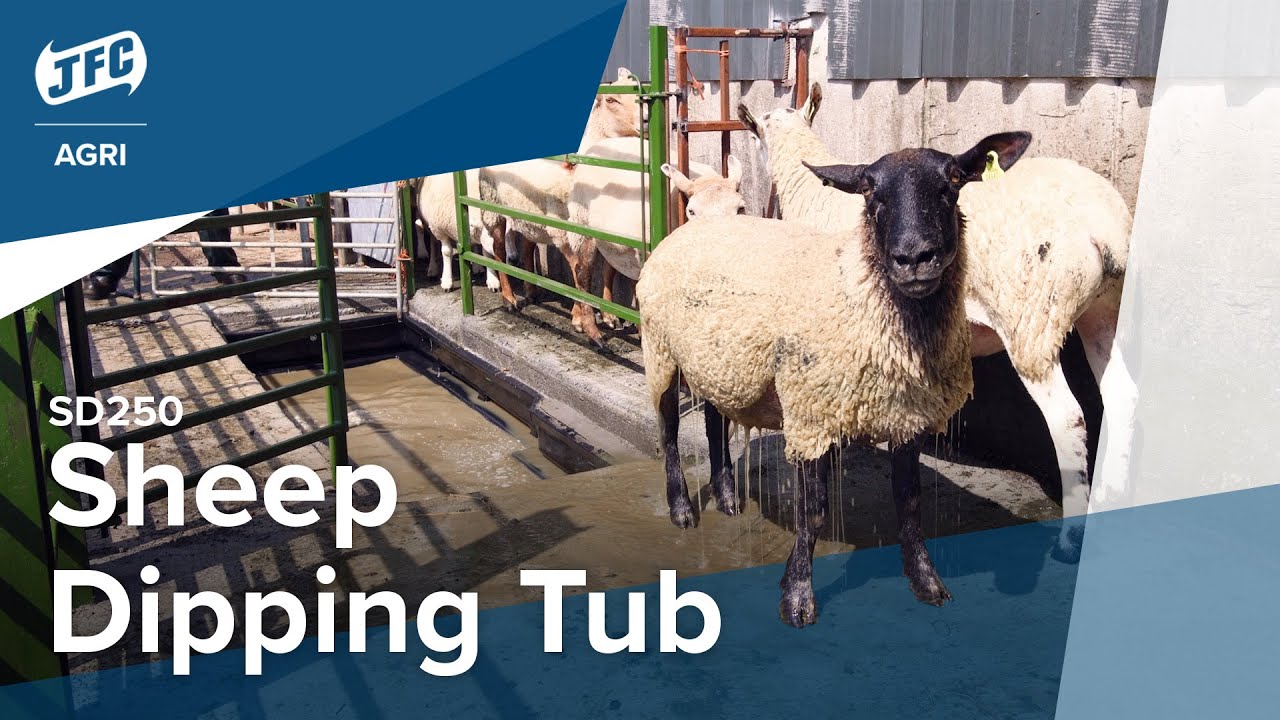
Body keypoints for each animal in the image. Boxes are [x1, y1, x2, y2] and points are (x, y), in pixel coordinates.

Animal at [478, 68, 643, 345]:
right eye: (611, 99)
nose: (644, 122)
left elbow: (608, 269)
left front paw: (609, 316)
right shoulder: (565, 227)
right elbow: (579, 270)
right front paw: (581, 320)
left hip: (529, 212)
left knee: (528, 245)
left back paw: (531, 290)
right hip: (492, 203)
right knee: (499, 248)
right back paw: (509, 298)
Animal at [566, 139, 746, 328]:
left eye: (741, 208)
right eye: (691, 211)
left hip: (613, 240)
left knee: (610, 268)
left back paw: (609, 315)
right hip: (581, 223)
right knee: (582, 271)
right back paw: (586, 322)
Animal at [636, 132, 1033, 627]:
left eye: (955, 181)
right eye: (869, 191)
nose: (914, 258)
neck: (857, 286)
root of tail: (685, 231)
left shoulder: (907, 416)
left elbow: (910, 505)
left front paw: (925, 581)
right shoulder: (811, 412)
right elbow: (815, 511)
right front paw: (797, 594)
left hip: (719, 356)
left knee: (713, 415)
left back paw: (727, 496)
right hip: (660, 349)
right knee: (668, 430)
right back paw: (682, 509)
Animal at [740, 95, 1133, 563]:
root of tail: (1102, 227)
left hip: (1032, 320)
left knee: (1068, 418)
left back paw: (1071, 537)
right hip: (1105, 309)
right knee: (1122, 396)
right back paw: (1112, 500)